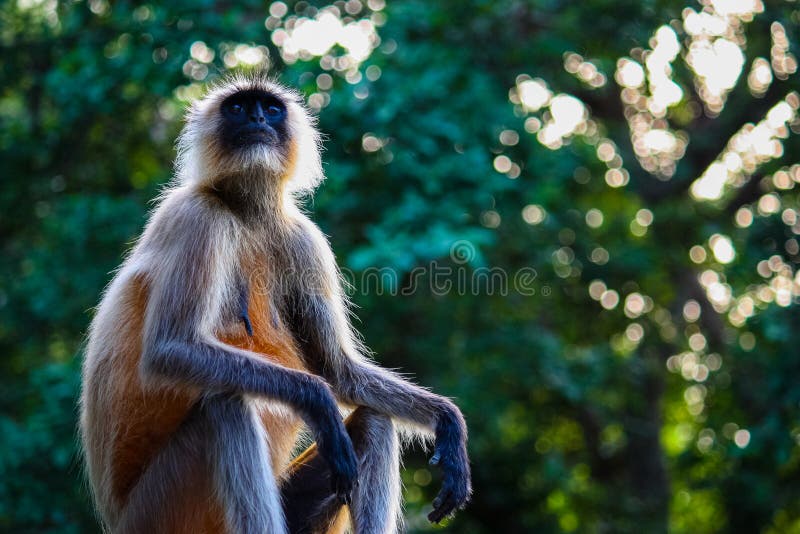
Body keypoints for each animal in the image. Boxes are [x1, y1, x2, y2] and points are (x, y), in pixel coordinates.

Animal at [79, 74, 471, 534]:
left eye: (270, 108)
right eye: (238, 108)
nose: (256, 119)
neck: (246, 211)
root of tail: (117, 519)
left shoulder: (304, 239)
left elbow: (339, 373)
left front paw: (448, 423)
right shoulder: (196, 215)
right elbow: (169, 349)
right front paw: (317, 401)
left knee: (374, 419)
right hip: (161, 510)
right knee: (226, 404)